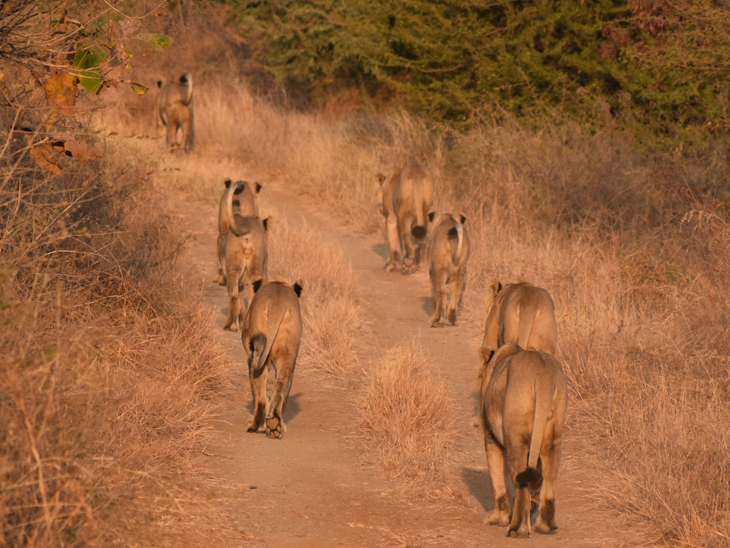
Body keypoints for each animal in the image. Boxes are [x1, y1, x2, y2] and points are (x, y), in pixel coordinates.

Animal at [223, 187, 270, 331]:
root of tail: (247, 229)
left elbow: (238, 297)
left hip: (234, 265)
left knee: (233, 295)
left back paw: (231, 326)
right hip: (255, 264)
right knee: (256, 286)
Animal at [241, 279, 303, 439]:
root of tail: (277, 302)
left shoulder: (250, 359)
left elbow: (255, 393)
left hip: (257, 352)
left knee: (261, 398)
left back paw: (256, 427)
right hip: (288, 352)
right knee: (281, 384)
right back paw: (274, 424)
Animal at [479, 342, 567, 537]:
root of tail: (543, 376)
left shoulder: (490, 437)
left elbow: (496, 480)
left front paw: (498, 517)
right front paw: (532, 504)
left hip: (515, 438)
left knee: (520, 486)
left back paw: (516, 529)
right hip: (552, 437)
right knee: (548, 484)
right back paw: (546, 525)